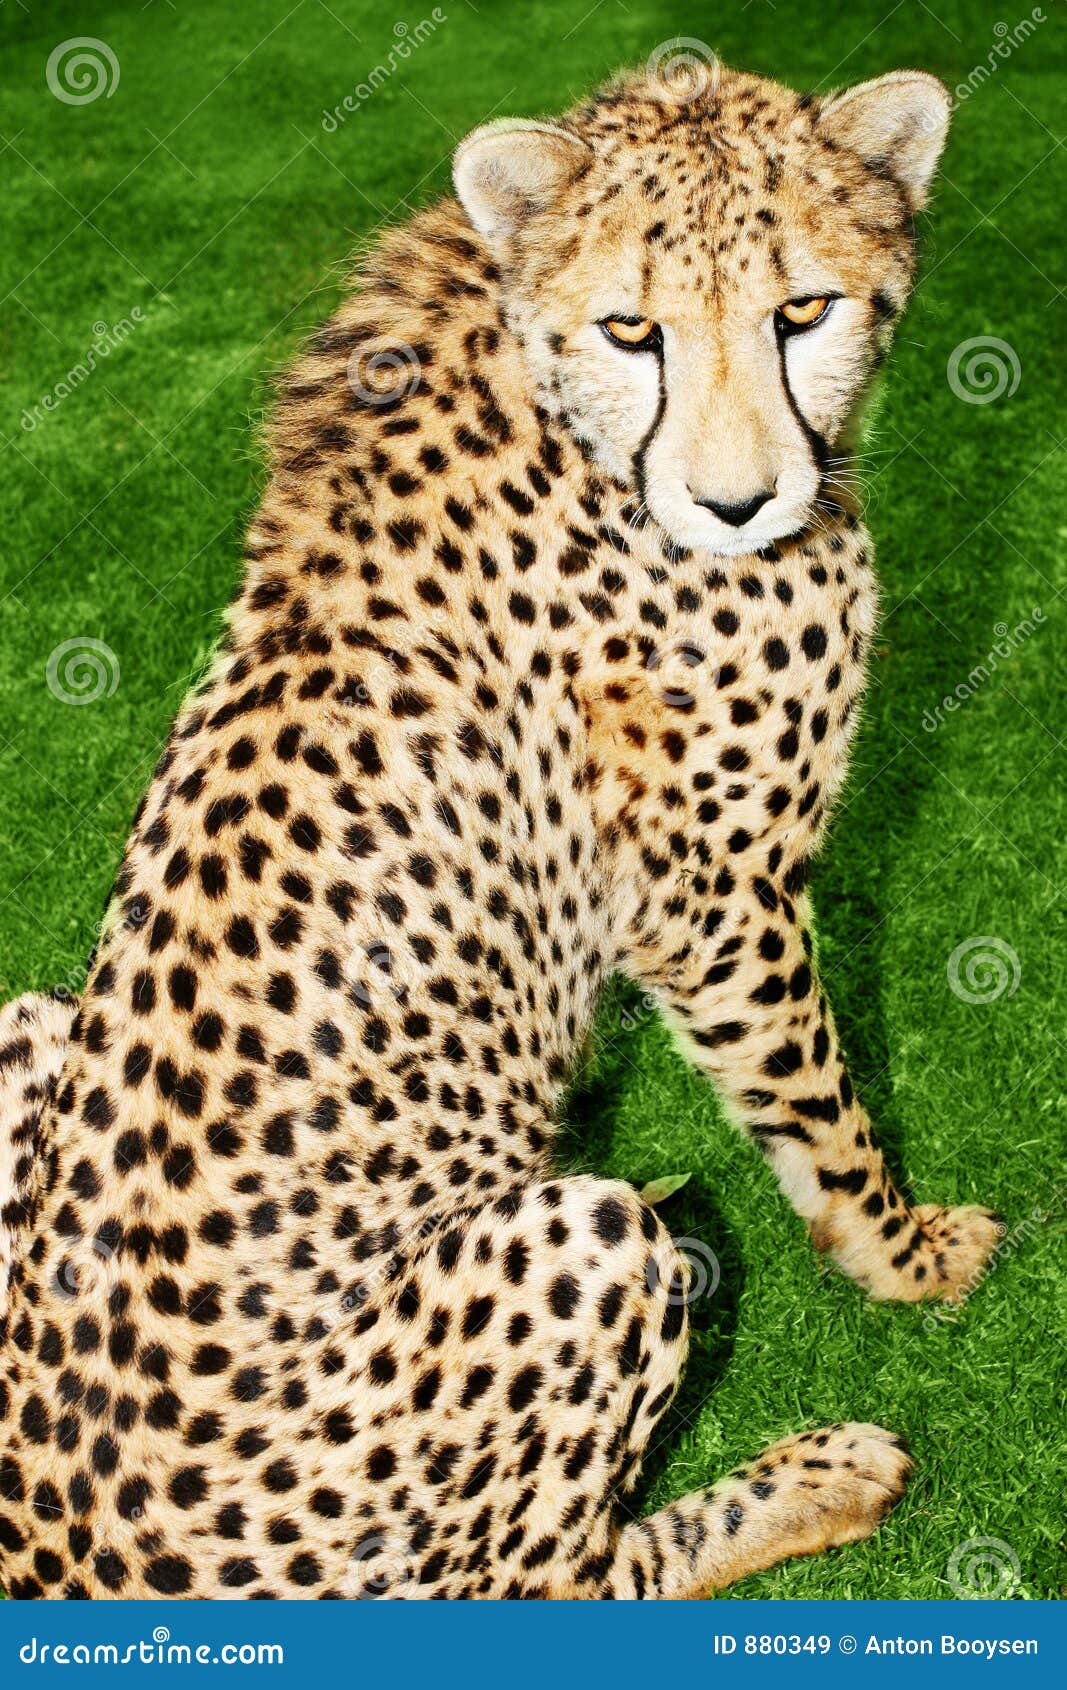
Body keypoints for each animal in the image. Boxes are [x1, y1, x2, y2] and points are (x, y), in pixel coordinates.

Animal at [0, 57, 1001, 1601]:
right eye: (634, 327)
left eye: (802, 310)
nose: (735, 504)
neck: (536, 369)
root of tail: (69, 1556)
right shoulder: (720, 896)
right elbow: (822, 1123)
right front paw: (911, 1258)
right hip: (589, 1245)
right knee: (562, 1580)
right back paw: (823, 1472)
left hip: (32, 1024)